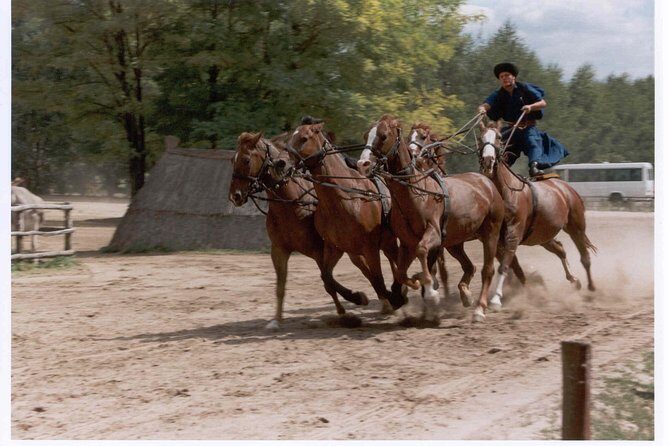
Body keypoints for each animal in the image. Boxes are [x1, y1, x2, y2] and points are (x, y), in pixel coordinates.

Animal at [228, 132, 368, 329]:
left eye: (246, 160)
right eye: (232, 159)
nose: (235, 196)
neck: (291, 204)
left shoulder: (320, 251)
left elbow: (328, 282)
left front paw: (348, 308)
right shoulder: (279, 250)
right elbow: (281, 286)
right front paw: (276, 320)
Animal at [284, 122, 405, 313]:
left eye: (304, 138)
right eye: (289, 139)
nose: (284, 166)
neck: (344, 198)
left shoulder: (370, 248)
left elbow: (378, 279)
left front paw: (394, 297)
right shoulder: (335, 247)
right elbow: (327, 277)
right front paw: (357, 297)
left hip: (388, 241)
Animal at [358, 115, 506, 322]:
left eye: (384, 135)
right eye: (366, 136)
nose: (362, 164)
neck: (417, 193)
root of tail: (487, 182)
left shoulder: (433, 235)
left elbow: (422, 253)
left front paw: (430, 292)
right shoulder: (406, 243)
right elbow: (401, 273)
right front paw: (415, 283)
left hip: (491, 233)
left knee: (488, 269)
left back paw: (479, 308)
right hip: (455, 242)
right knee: (469, 267)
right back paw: (465, 295)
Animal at [479, 122, 597, 310]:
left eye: (498, 137)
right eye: (480, 137)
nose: (488, 161)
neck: (506, 192)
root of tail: (565, 187)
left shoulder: (513, 235)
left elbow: (505, 266)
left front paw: (496, 298)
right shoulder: (496, 239)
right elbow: (512, 267)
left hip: (576, 228)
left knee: (585, 257)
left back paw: (591, 287)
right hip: (543, 237)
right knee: (560, 250)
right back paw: (574, 280)